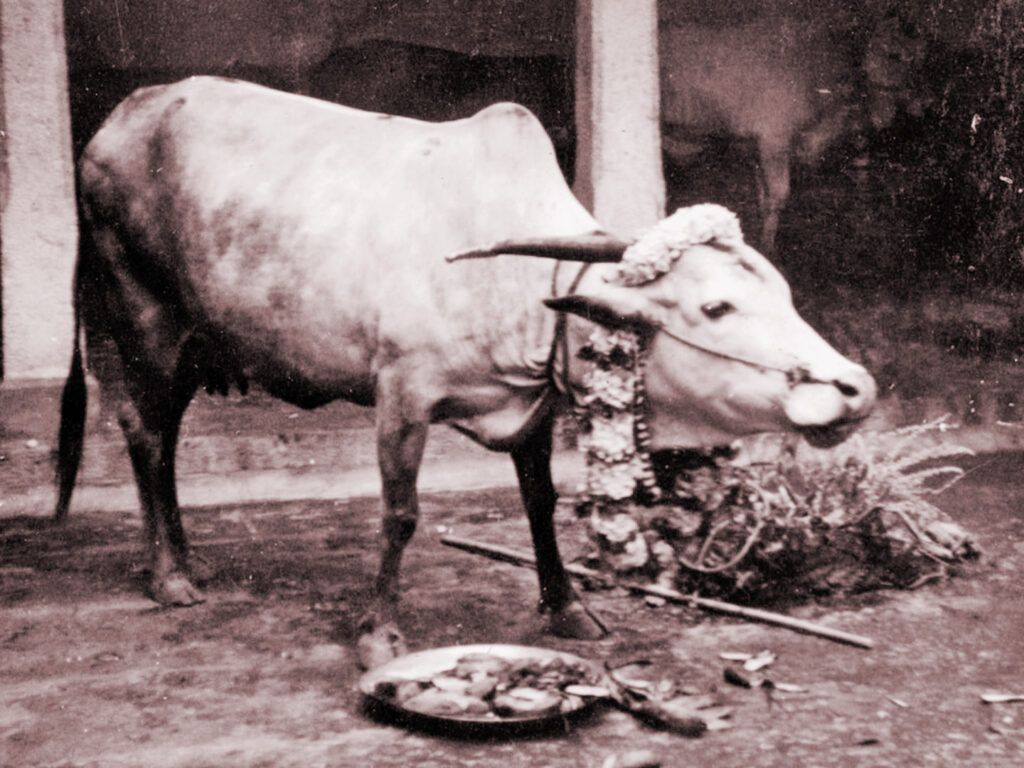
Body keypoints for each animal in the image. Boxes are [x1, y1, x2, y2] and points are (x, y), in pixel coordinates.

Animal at [55, 77, 876, 665]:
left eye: (785, 292)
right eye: (716, 307)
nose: (856, 388)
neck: (520, 287)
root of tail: (121, 115)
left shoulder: (532, 404)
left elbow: (541, 503)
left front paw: (567, 607)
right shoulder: (401, 395)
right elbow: (400, 515)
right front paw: (380, 635)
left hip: (197, 340)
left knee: (161, 437)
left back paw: (180, 560)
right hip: (146, 324)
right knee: (146, 434)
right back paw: (170, 576)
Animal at [660, 15, 927, 251]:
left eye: (921, 57)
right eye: (896, 55)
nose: (927, 101)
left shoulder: (757, 148)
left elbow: (764, 198)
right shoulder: (774, 141)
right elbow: (779, 196)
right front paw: (768, 248)